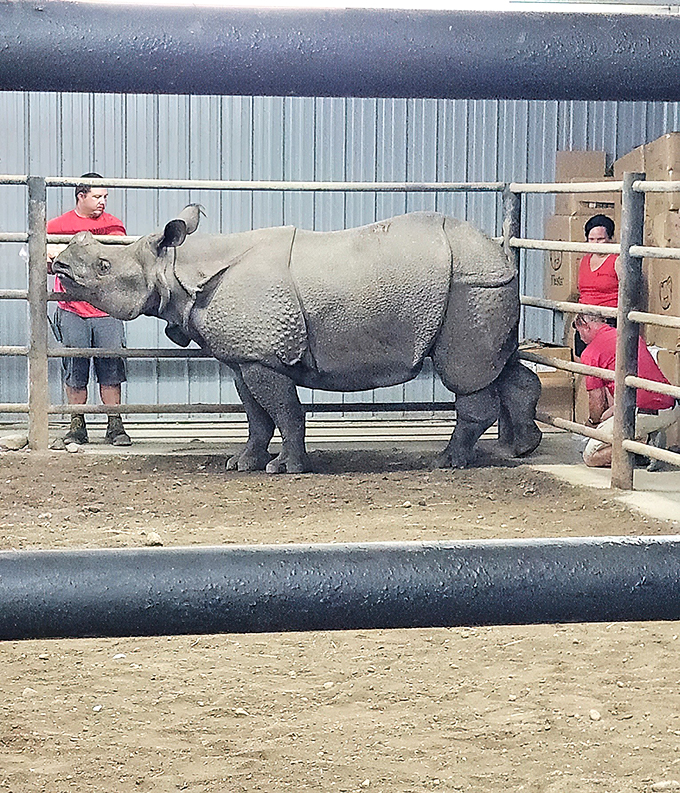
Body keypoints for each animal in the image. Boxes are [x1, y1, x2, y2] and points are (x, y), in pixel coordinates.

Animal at [52, 206, 541, 473]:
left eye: (103, 267)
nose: (58, 264)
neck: (176, 267)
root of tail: (500, 252)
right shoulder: (245, 358)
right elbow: (256, 415)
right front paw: (242, 464)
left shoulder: (263, 356)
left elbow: (285, 411)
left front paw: (286, 469)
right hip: (484, 285)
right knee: (499, 365)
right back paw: (520, 449)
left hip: (469, 285)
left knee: (465, 374)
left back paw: (446, 462)